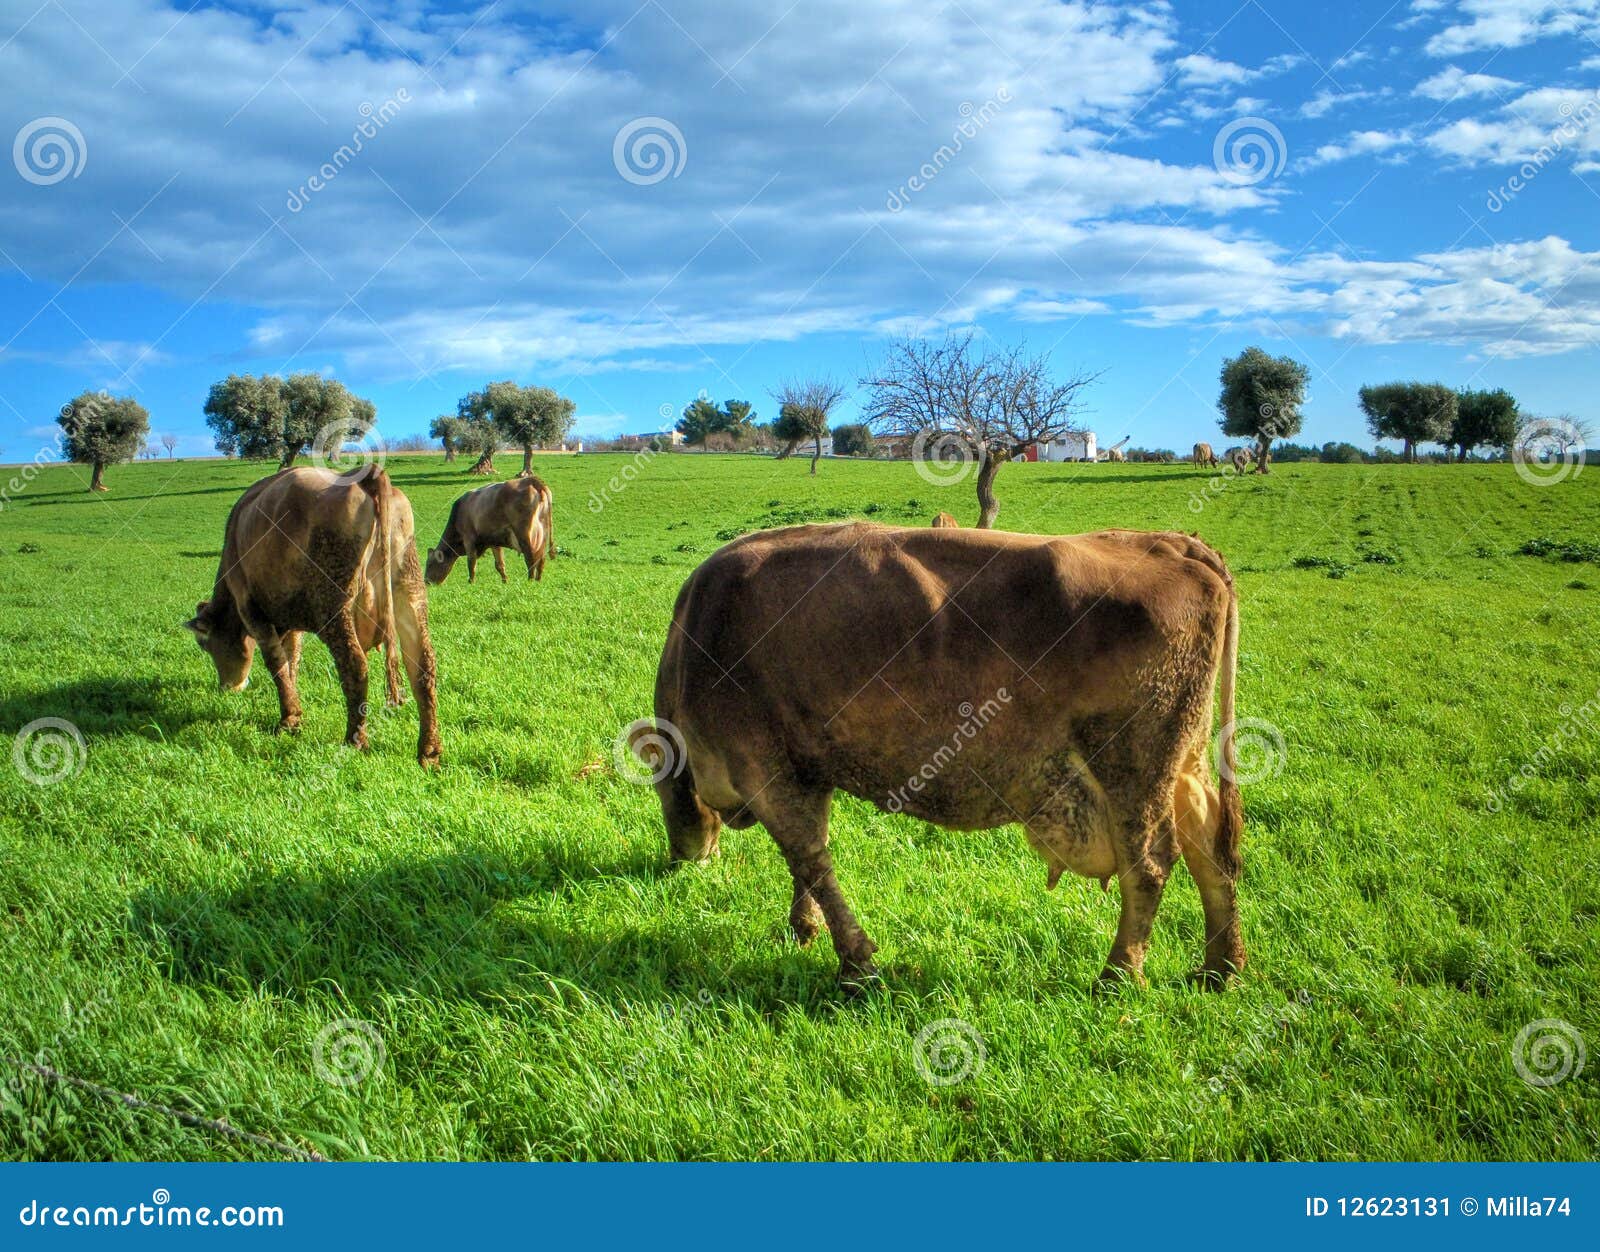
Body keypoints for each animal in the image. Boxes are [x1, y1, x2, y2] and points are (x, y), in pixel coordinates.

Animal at [185, 466, 441, 767]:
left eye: (205, 644)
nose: (228, 688)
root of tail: (364, 475)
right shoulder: (291, 622)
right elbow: (291, 660)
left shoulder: (252, 611)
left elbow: (277, 664)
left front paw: (289, 720)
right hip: (408, 589)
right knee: (422, 665)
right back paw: (429, 751)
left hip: (333, 606)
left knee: (355, 665)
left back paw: (354, 741)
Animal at [425, 476, 554, 585]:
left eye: (429, 564)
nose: (426, 582)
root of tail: (530, 480)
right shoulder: (493, 541)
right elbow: (499, 564)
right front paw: (505, 582)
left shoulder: (468, 538)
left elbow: (471, 563)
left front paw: (471, 583)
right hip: (543, 534)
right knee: (541, 560)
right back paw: (538, 581)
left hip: (525, 535)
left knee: (531, 559)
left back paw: (530, 581)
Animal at [638, 522, 1245, 992]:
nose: (678, 860)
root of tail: (1174, 543)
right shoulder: (807, 766)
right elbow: (807, 861)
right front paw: (803, 928)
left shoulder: (764, 766)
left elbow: (809, 858)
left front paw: (855, 965)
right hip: (1183, 762)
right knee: (1210, 849)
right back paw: (1221, 968)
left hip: (1132, 767)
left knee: (1149, 864)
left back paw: (1118, 975)